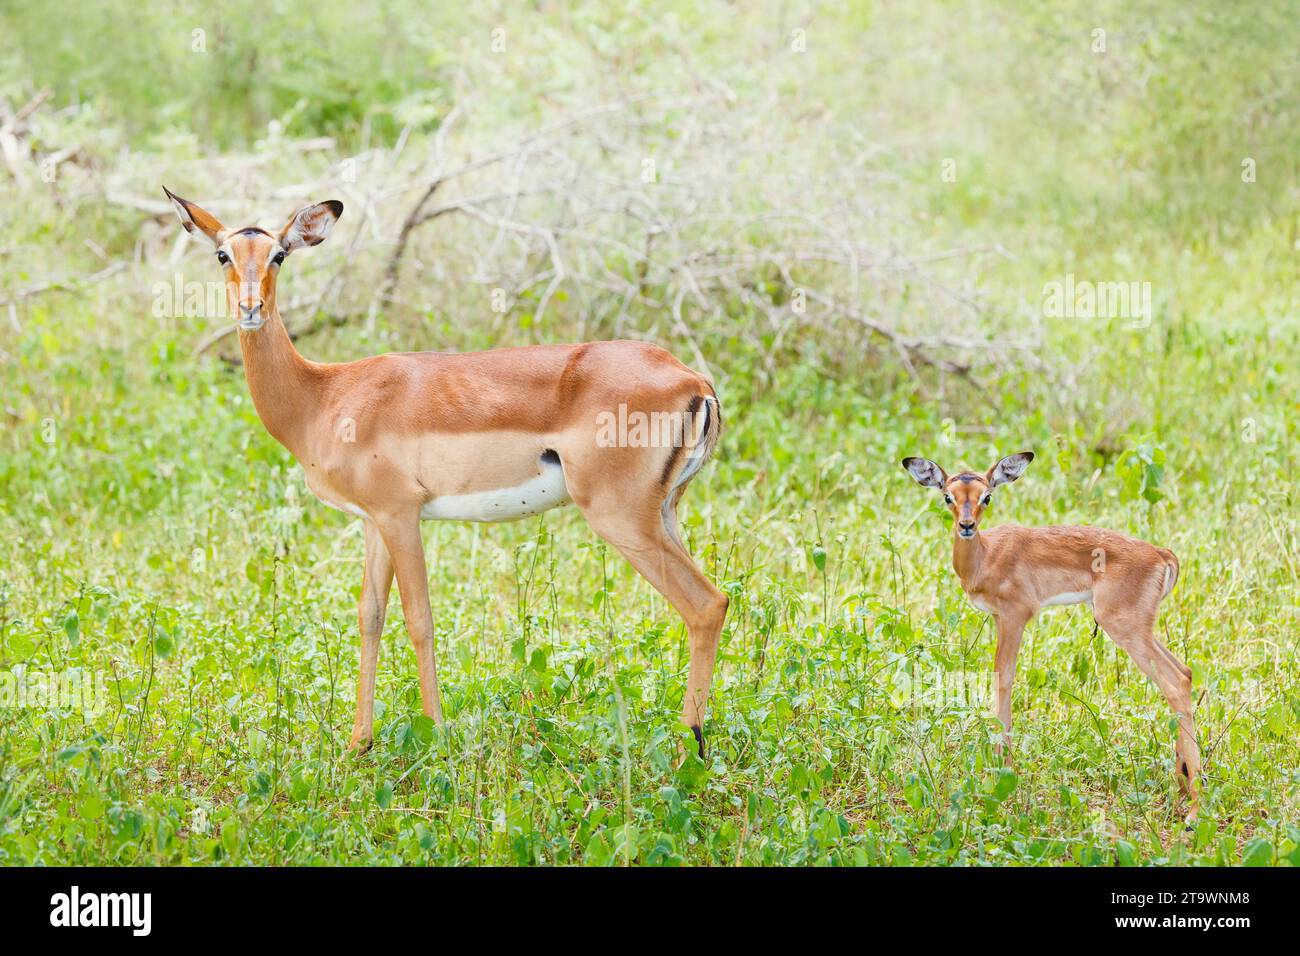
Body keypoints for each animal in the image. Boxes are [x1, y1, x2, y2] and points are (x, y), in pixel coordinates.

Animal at [163, 186, 728, 756]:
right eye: (223, 255)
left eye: (279, 254)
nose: (250, 308)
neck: (324, 396)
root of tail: (692, 379)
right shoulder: (373, 522)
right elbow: (370, 616)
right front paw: (358, 744)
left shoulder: (400, 514)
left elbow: (420, 618)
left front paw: (435, 734)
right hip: (664, 512)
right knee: (716, 600)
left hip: (620, 517)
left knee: (706, 604)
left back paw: (691, 747)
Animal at [901, 452, 1200, 819]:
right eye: (947, 496)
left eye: (987, 496)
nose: (967, 526)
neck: (985, 557)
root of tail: (1162, 554)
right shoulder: (999, 618)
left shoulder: (1015, 615)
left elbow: (1003, 678)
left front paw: (1004, 772)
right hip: (1142, 628)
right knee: (1185, 672)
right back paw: (1182, 788)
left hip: (1123, 627)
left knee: (1174, 682)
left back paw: (1195, 809)